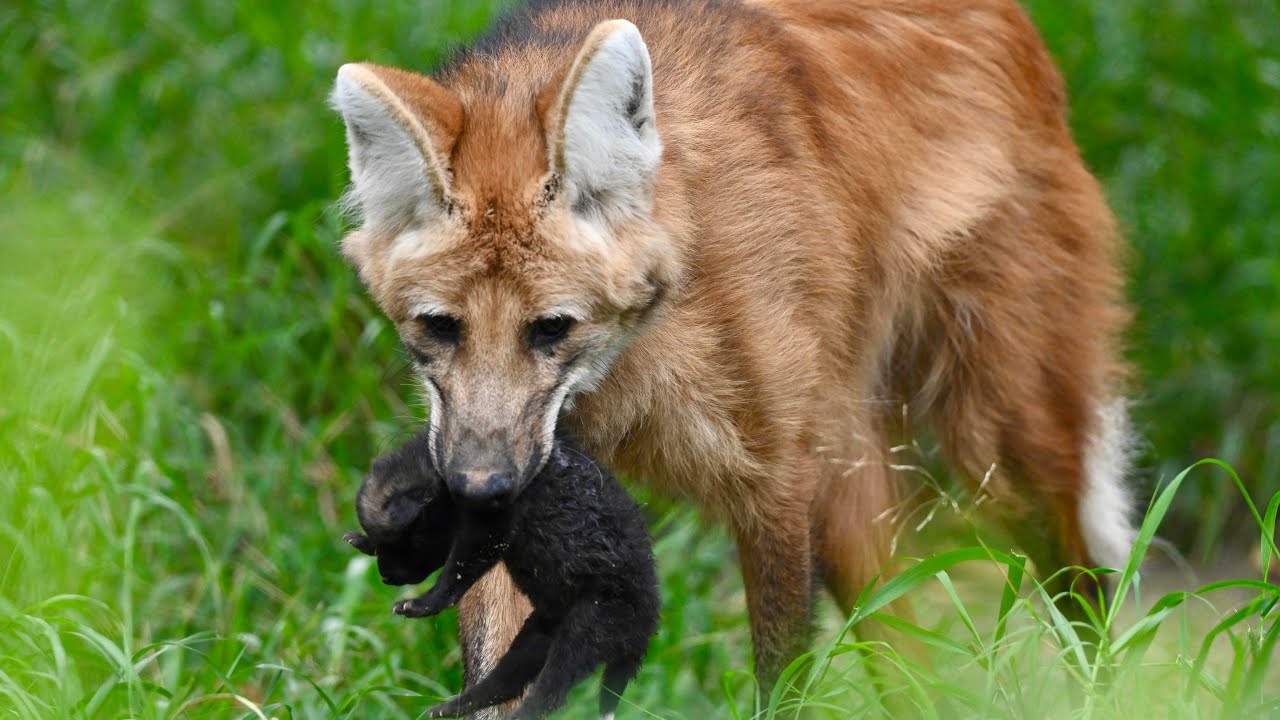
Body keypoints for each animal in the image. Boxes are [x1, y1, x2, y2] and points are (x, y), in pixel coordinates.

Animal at [345, 430, 659, 720]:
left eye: (405, 538)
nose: (385, 578)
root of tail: (645, 630)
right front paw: (360, 541)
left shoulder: (490, 530)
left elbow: (457, 572)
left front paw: (420, 604)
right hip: (539, 633)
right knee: (503, 684)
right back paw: (447, 708)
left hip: (586, 627)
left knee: (548, 694)